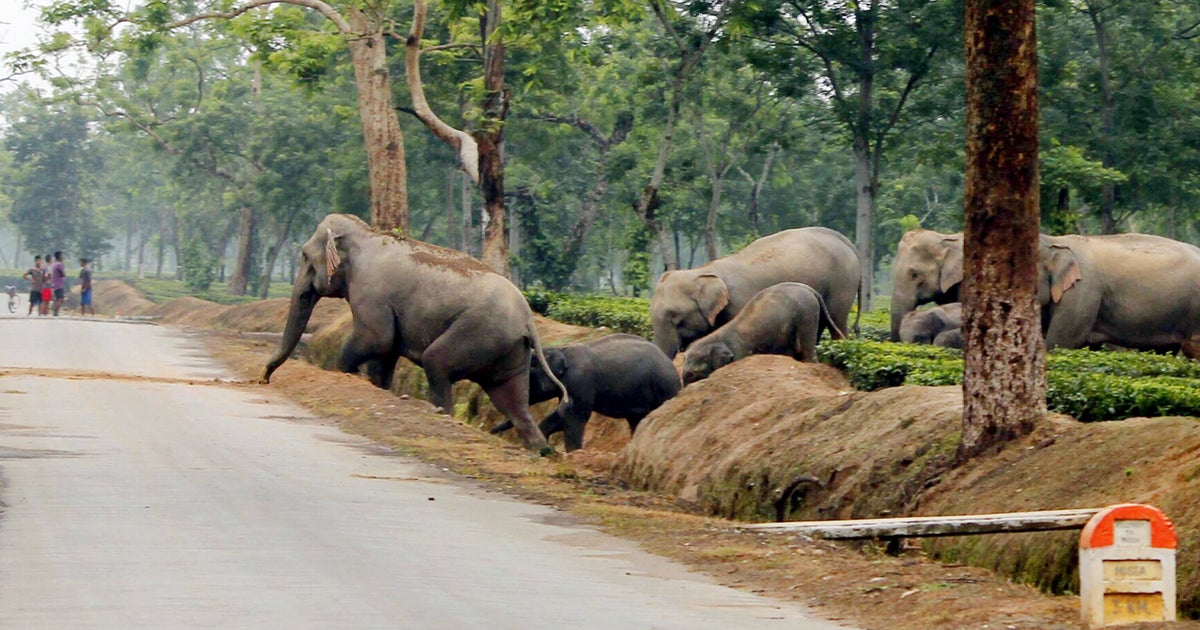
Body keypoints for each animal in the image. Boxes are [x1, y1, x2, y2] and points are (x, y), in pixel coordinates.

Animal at [262, 214, 568, 452]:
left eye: (304, 256)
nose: (264, 378)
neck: (367, 233)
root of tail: (529, 318)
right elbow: (386, 354)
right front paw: (374, 386)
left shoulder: (371, 292)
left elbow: (377, 339)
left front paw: (347, 374)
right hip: (509, 352)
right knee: (514, 405)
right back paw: (543, 452)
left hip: (480, 333)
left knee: (437, 363)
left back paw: (443, 414)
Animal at [489, 334, 682, 451]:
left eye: (529, 380)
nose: (489, 431)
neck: (562, 349)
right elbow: (559, 416)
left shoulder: (579, 382)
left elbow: (574, 415)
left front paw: (573, 452)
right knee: (637, 421)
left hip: (665, 388)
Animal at [649, 227, 861, 358]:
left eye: (675, 316)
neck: (702, 272)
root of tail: (847, 242)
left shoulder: (738, 303)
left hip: (842, 283)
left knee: (837, 321)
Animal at [680, 282, 847, 385]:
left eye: (692, 374)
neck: (715, 337)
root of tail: (811, 290)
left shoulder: (739, 351)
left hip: (806, 315)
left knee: (807, 350)